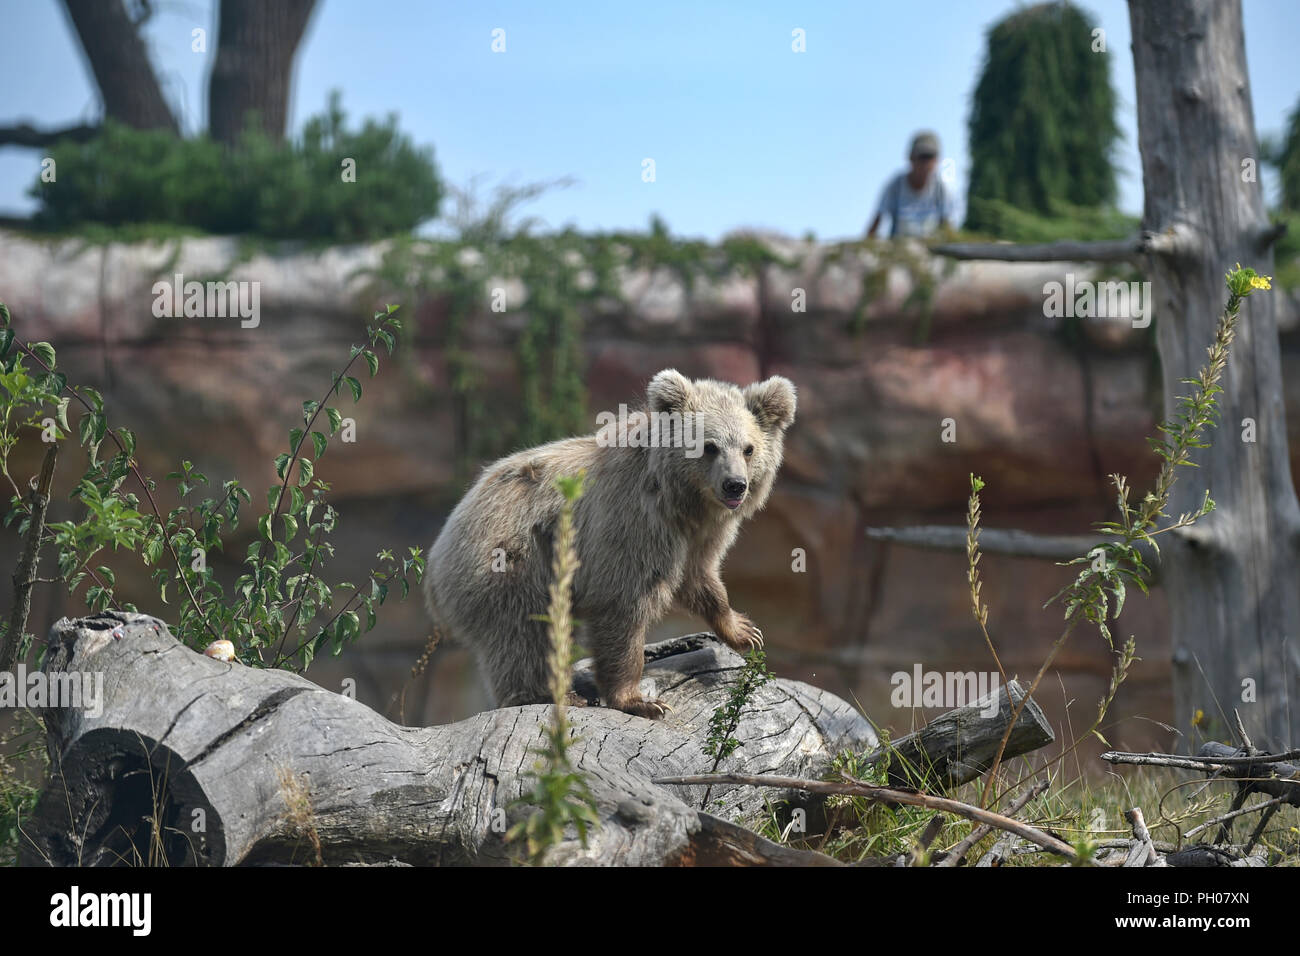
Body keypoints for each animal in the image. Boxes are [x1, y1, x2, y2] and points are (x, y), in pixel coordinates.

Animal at [424, 368, 796, 719]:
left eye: (748, 448)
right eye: (709, 446)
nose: (735, 485)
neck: (682, 501)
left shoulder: (699, 536)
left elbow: (700, 577)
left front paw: (745, 631)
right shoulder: (629, 525)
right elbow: (624, 606)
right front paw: (641, 701)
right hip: (512, 560)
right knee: (525, 631)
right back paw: (550, 694)